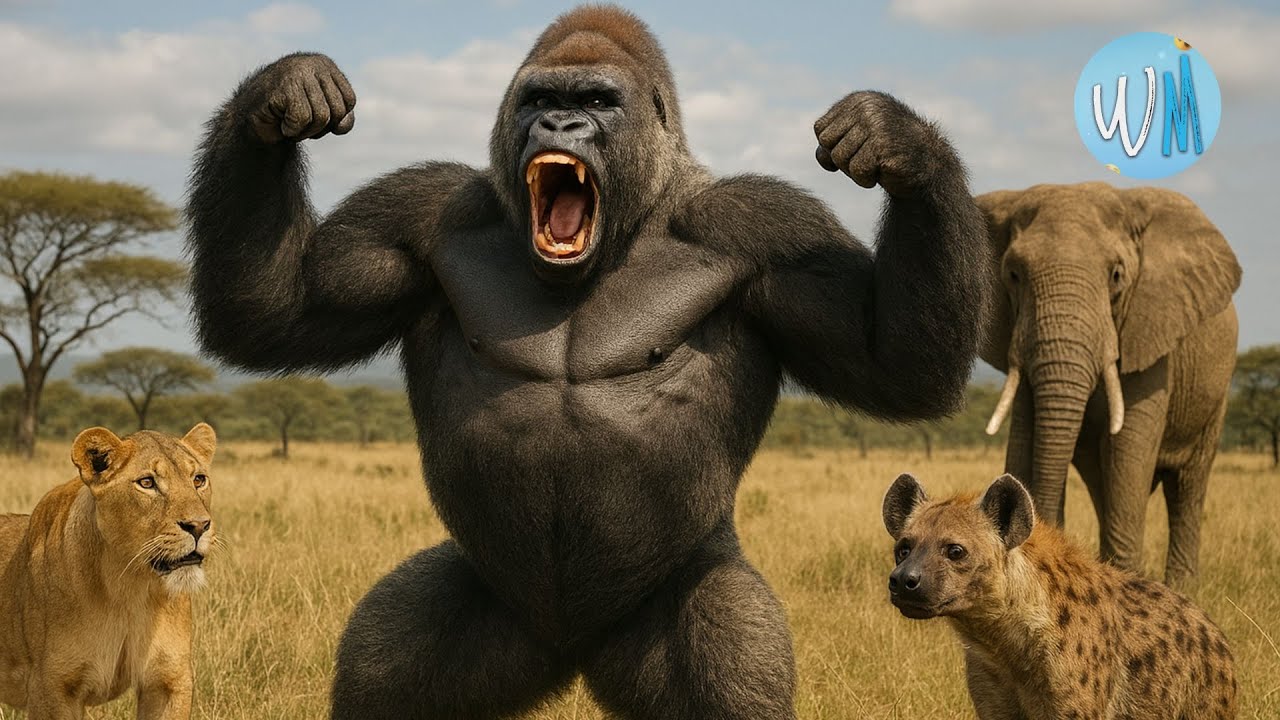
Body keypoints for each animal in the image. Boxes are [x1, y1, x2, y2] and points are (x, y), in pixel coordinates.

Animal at [185, 6, 990, 719]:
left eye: (595, 102)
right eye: (541, 101)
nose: (559, 128)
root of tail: (570, 655)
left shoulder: (771, 231)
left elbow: (896, 364)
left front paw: (900, 144)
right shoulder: (414, 212)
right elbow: (278, 311)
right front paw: (279, 97)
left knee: (731, 674)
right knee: (384, 675)